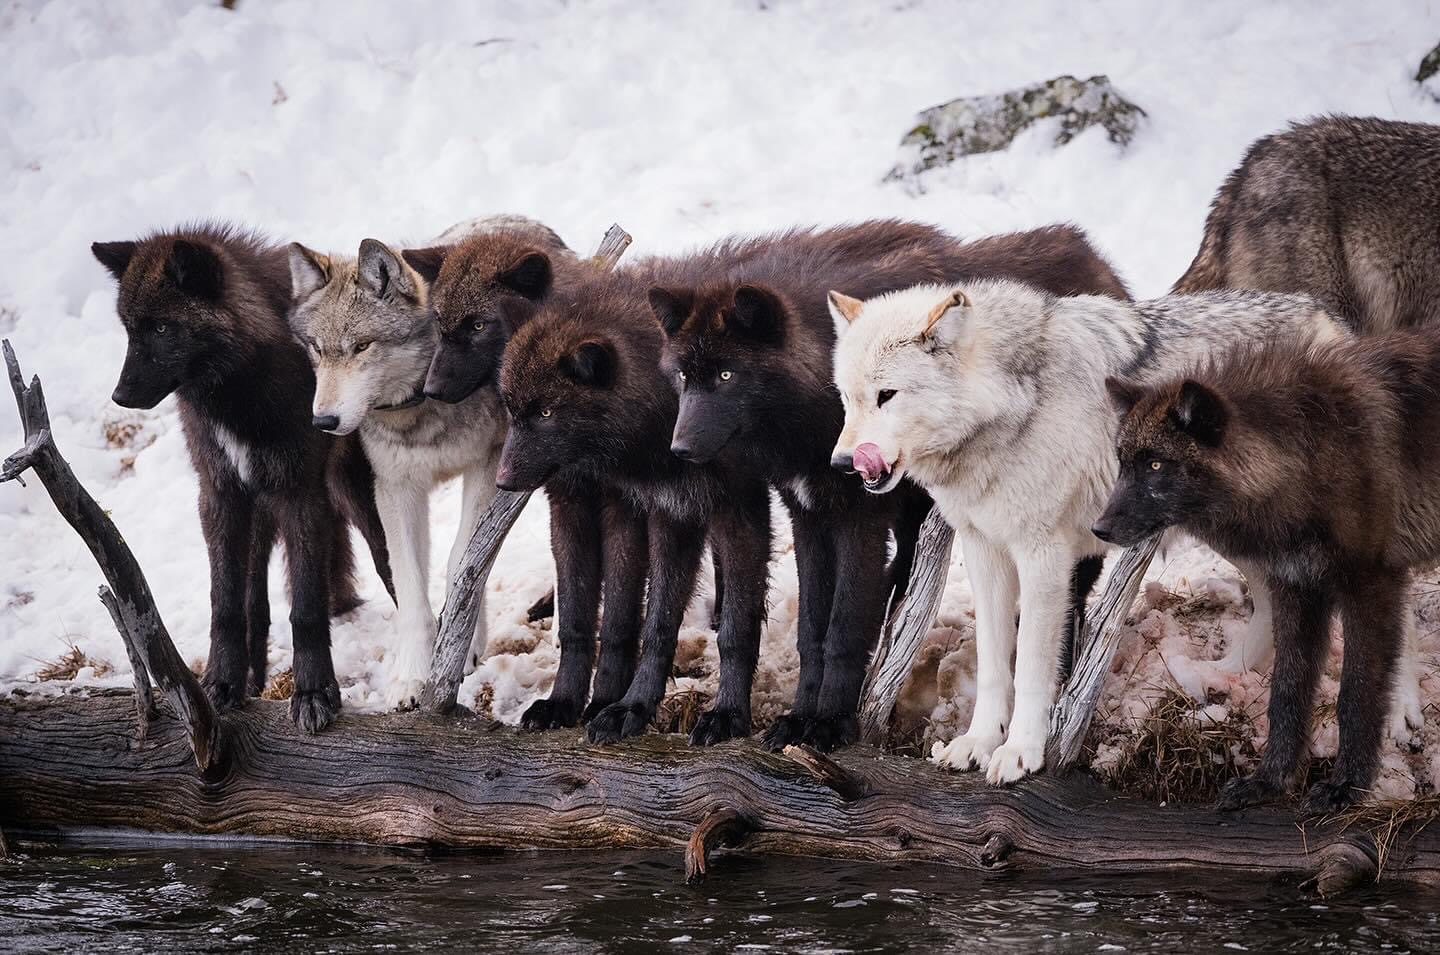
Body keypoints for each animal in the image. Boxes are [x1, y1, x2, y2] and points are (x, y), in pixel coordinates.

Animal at [91, 223, 393, 733]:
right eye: (129, 329)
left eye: (163, 328)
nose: (120, 395)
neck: (239, 392)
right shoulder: (220, 496)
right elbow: (226, 604)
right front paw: (220, 685)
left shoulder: (300, 496)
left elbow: (307, 609)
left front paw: (313, 693)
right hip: (260, 514)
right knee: (257, 602)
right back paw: (251, 681)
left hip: (356, 503)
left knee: (395, 572)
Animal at [286, 216, 571, 709]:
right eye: (318, 349)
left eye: (362, 346)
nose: (323, 420)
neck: (422, 405)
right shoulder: (395, 488)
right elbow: (410, 586)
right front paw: (411, 678)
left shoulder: (488, 468)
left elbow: (464, 562)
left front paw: (465, 642)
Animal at [652, 222, 1129, 751]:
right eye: (683, 376)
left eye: (726, 374)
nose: (679, 448)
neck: (811, 413)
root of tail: (1099, 261)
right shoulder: (808, 515)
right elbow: (812, 631)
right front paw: (799, 718)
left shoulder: (858, 520)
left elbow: (841, 630)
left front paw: (828, 723)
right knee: (903, 575)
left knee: (1072, 596)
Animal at [831, 281, 1344, 782]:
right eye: (848, 398)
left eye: (887, 394)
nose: (842, 463)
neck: (1012, 406)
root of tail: (1328, 317)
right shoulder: (984, 550)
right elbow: (995, 664)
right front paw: (978, 743)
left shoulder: (1043, 555)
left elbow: (1031, 667)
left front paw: (1021, 752)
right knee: (1271, 602)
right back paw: (1224, 673)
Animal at [1092, 326, 1440, 812]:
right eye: (1123, 464)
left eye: (1156, 464)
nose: (1099, 529)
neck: (1310, 455)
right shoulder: (1296, 588)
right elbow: (1287, 691)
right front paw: (1270, 781)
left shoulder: (1372, 587)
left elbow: (1356, 694)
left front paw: (1346, 788)